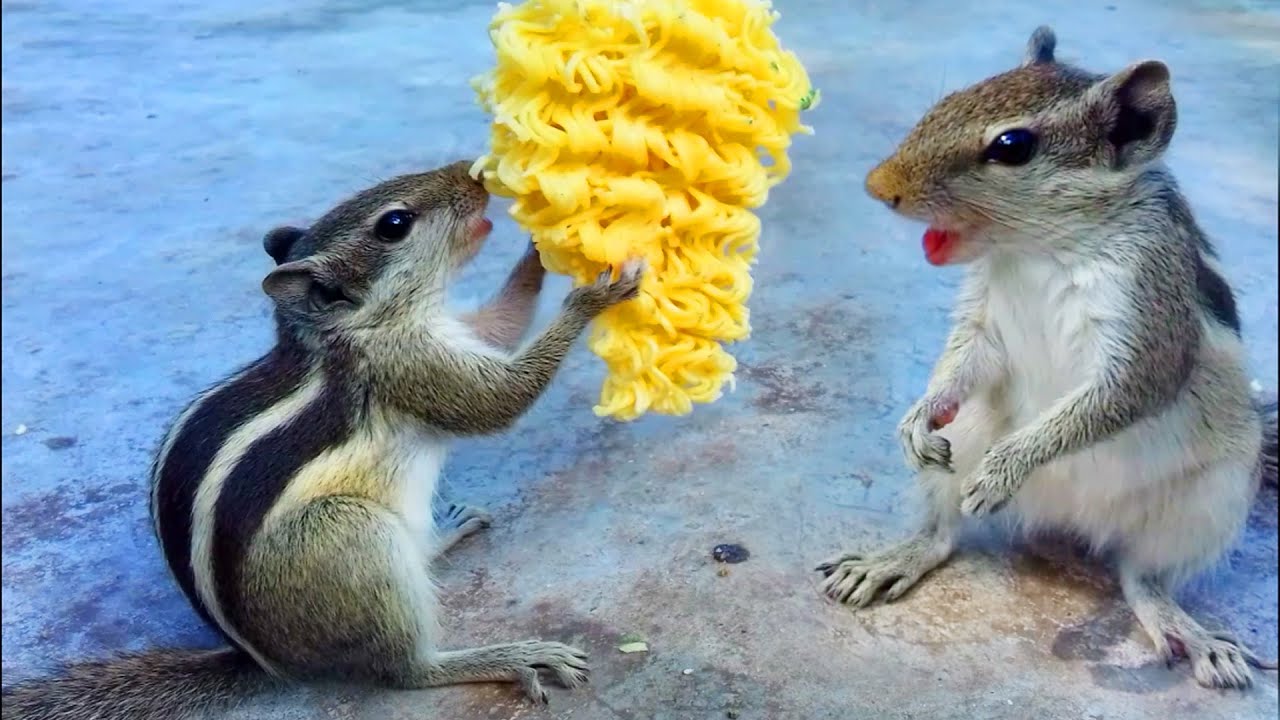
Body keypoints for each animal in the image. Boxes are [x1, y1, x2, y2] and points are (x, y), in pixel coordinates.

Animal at [2, 160, 644, 719]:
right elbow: (498, 400)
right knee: (405, 672)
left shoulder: (451, 335)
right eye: (394, 223)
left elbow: (502, 324)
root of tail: (268, 660)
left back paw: (447, 533)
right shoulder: (409, 367)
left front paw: (537, 249)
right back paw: (511, 656)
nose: (474, 172)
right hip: (347, 538)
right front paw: (590, 296)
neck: (344, 332)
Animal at [816, 27, 1279, 690]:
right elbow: (966, 356)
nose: (878, 186)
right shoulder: (984, 316)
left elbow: (1123, 392)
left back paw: (1188, 632)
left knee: (1142, 578)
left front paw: (1007, 468)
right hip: (958, 449)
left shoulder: (1149, 311)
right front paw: (918, 416)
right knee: (943, 533)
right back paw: (891, 558)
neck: (1041, 250)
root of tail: (1064, 518)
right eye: (947, 100)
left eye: (1012, 146)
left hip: (1207, 504)